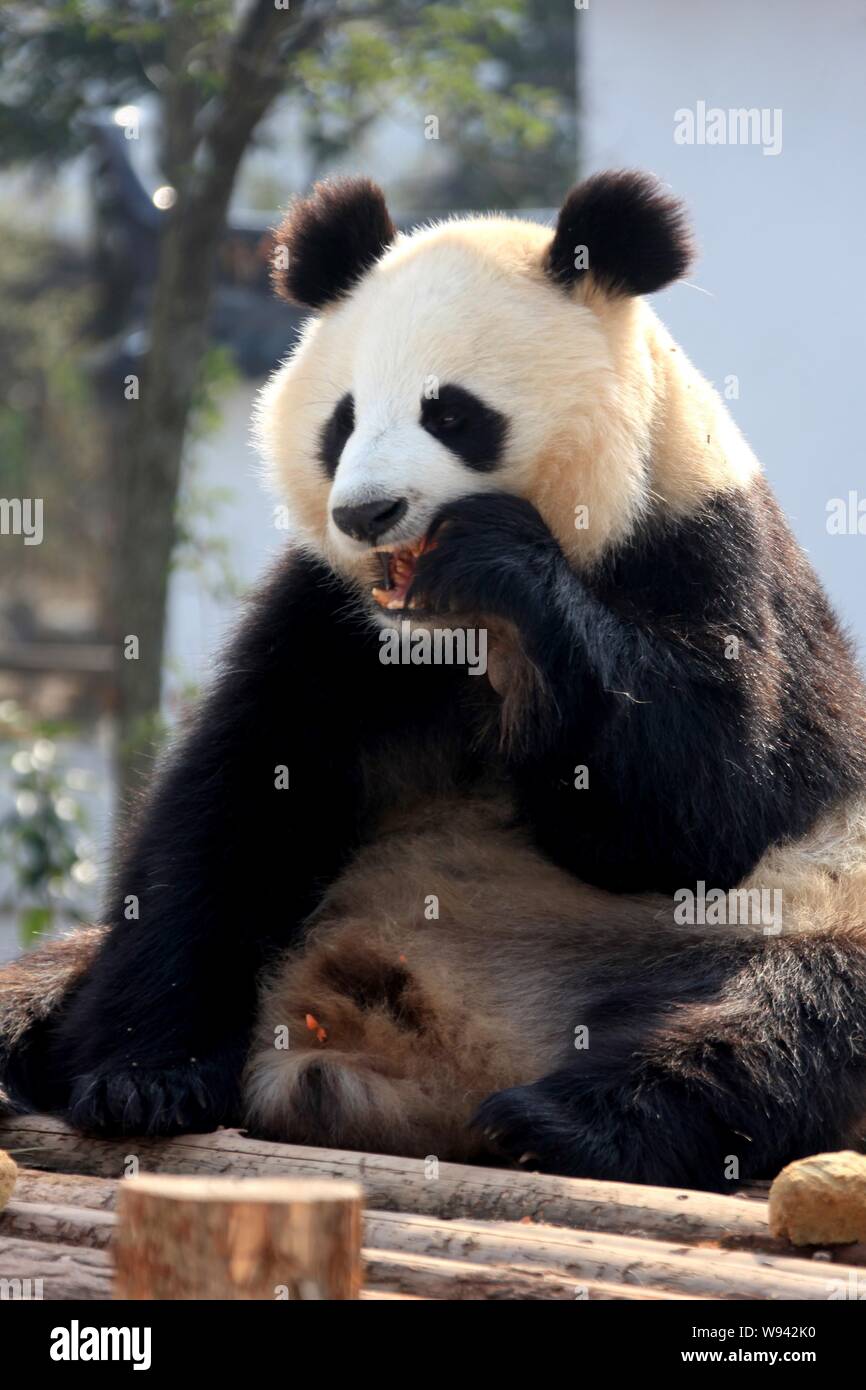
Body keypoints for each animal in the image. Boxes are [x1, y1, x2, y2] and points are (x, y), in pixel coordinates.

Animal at [3, 171, 866, 1193]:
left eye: (451, 414)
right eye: (341, 420)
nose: (368, 513)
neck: (448, 642)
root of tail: (441, 1072)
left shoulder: (705, 551)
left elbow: (696, 811)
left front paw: (500, 559)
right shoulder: (330, 620)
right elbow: (234, 808)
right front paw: (144, 1080)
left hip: (797, 909)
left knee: (789, 1016)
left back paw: (568, 1121)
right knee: (49, 972)